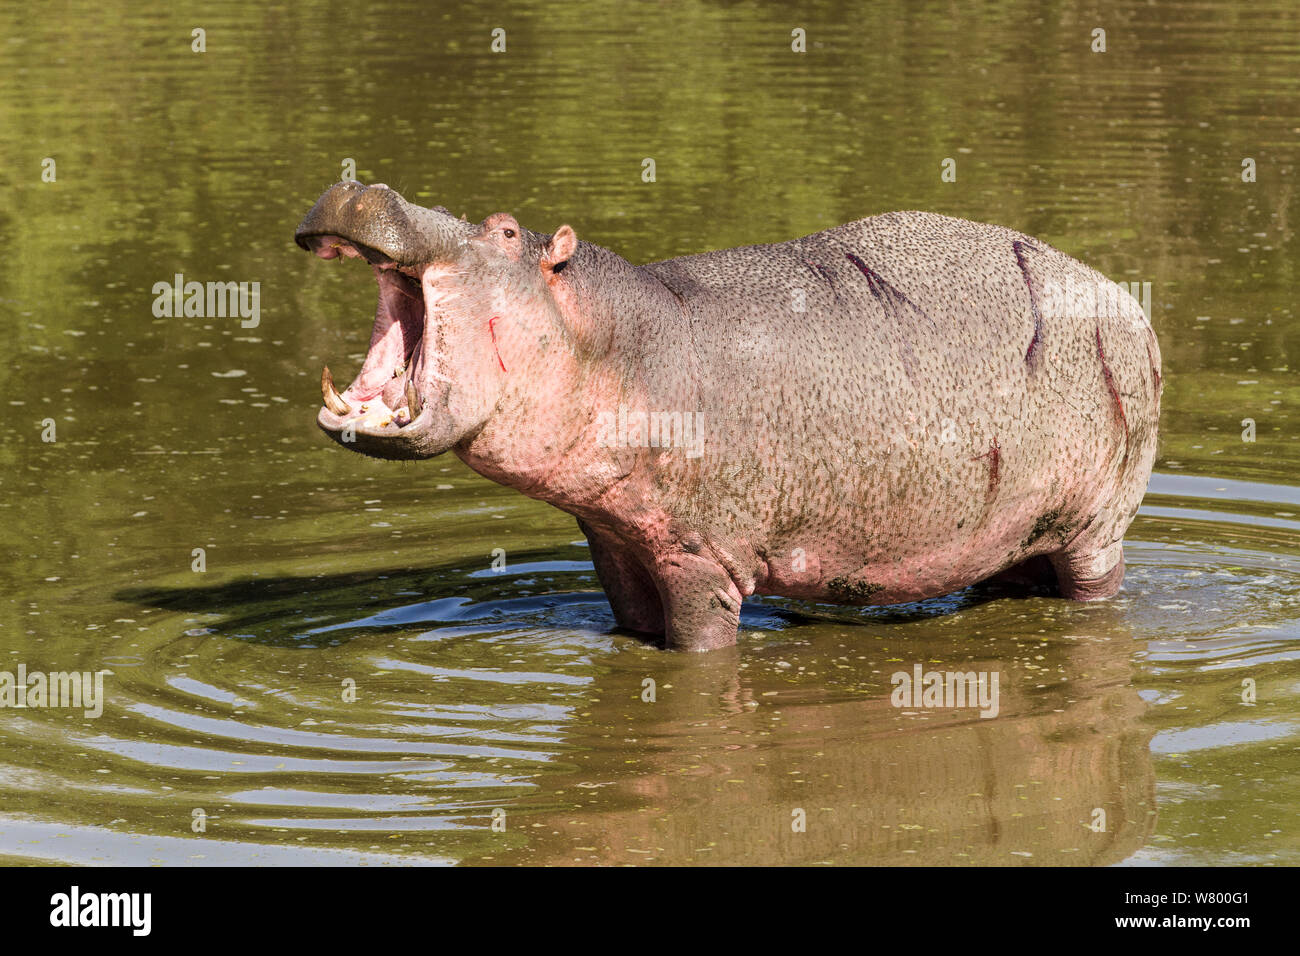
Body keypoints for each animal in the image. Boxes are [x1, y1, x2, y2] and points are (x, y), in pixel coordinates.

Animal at [295, 181, 1161, 651]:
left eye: (506, 230)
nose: (360, 185)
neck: (614, 335)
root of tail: (1120, 294)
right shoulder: (614, 540)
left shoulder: (700, 556)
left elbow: (700, 647)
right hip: (1006, 528)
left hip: (1097, 530)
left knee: (1095, 585)